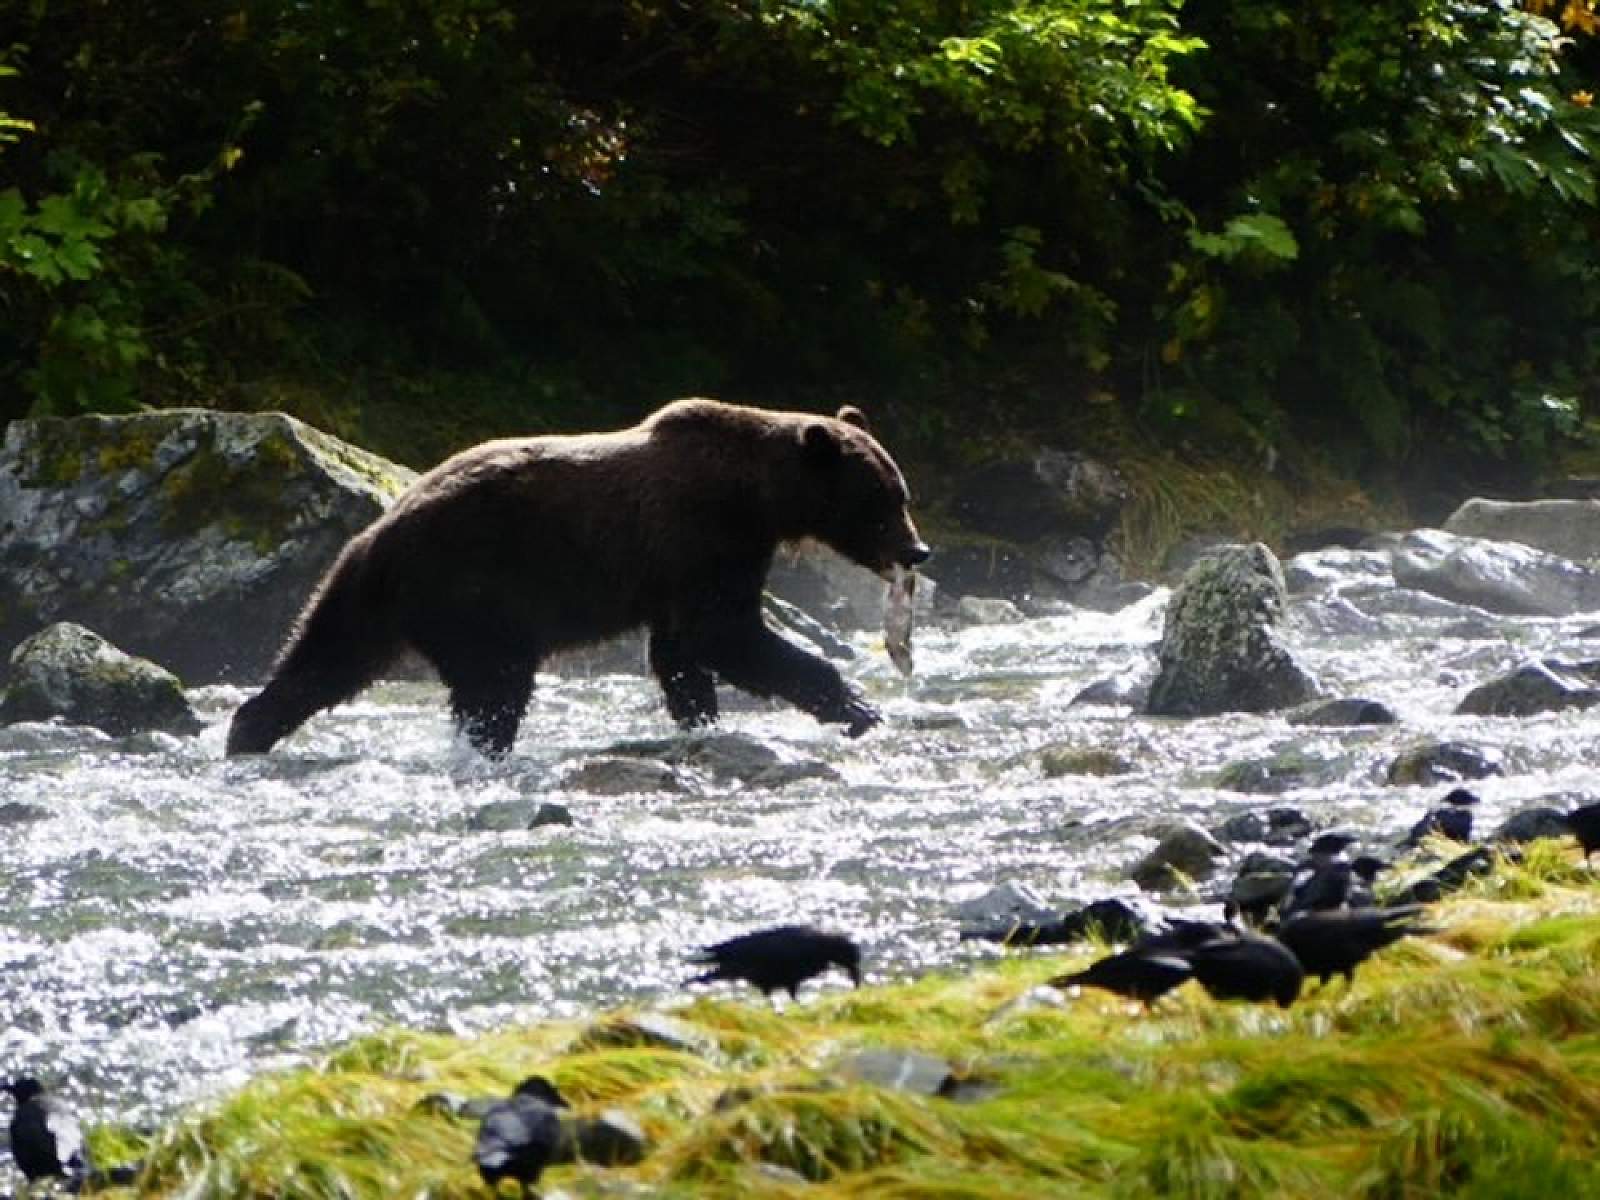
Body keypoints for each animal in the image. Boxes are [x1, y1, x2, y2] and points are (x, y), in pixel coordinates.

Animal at [226, 398, 929, 757]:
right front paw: (855, 706)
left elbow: (680, 650)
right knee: (496, 684)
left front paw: (701, 718)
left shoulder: (684, 565)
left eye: (902, 493)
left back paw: (248, 730)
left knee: (324, 659)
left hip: (364, 593)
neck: (757, 498)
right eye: (884, 501)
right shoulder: (702, 537)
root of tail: (381, 532)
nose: (918, 550)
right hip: (476, 589)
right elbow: (725, 634)